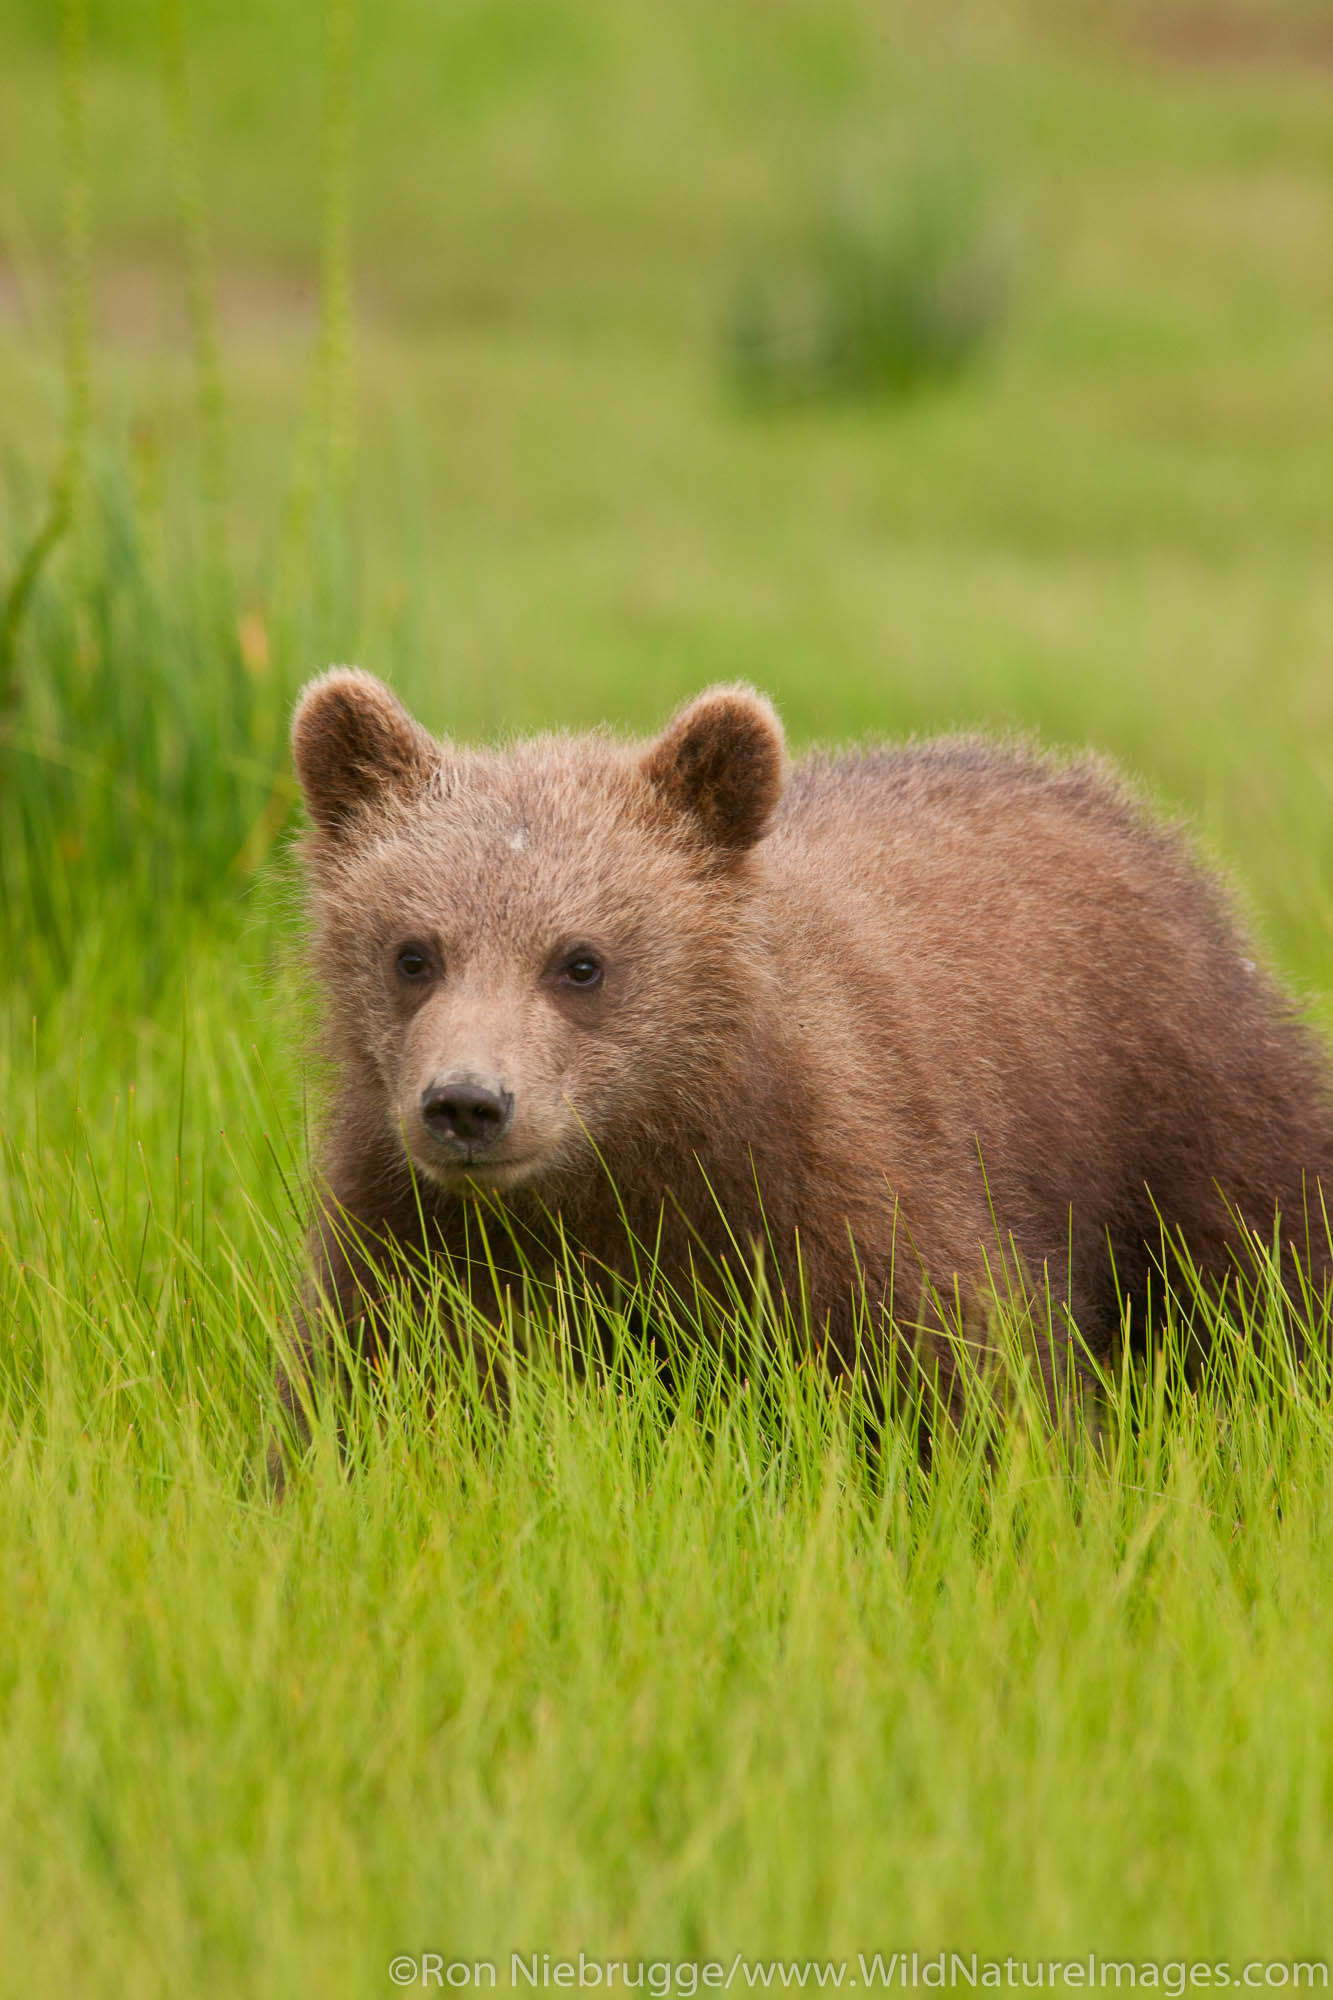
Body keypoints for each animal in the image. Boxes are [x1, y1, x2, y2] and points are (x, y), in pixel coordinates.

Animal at [271, 669, 1333, 1470]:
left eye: (579, 961)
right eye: (413, 952)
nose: (467, 1105)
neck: (615, 1175)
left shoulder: (831, 1191)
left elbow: (966, 1375)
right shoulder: (411, 1233)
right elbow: (363, 1390)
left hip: (1184, 1100)